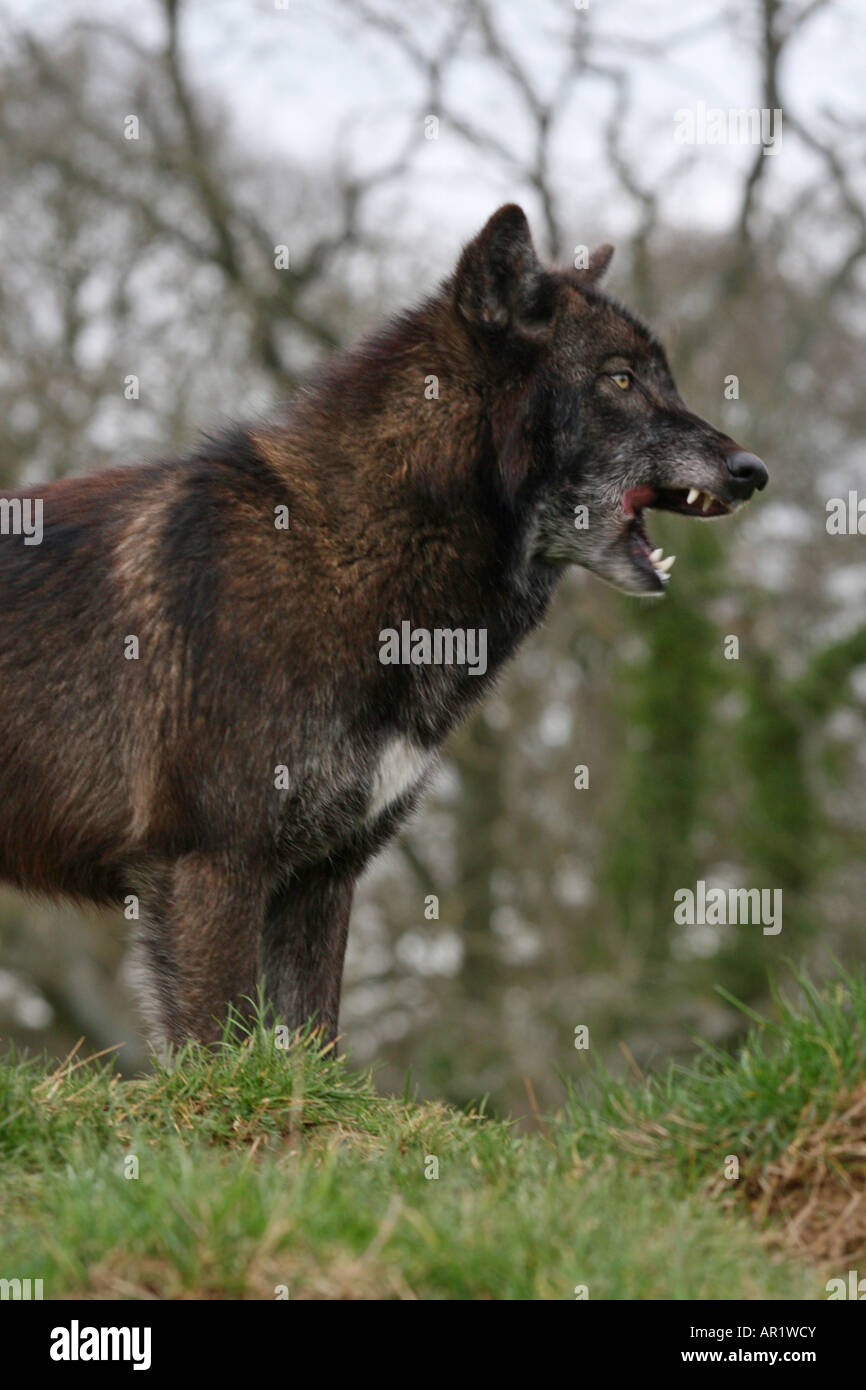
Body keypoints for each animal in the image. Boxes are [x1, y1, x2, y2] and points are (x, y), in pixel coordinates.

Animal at [0, 204, 767, 1048]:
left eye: (664, 377)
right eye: (620, 378)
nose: (753, 472)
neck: (353, 551)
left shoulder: (321, 877)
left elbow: (311, 1047)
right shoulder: (210, 864)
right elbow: (221, 1049)